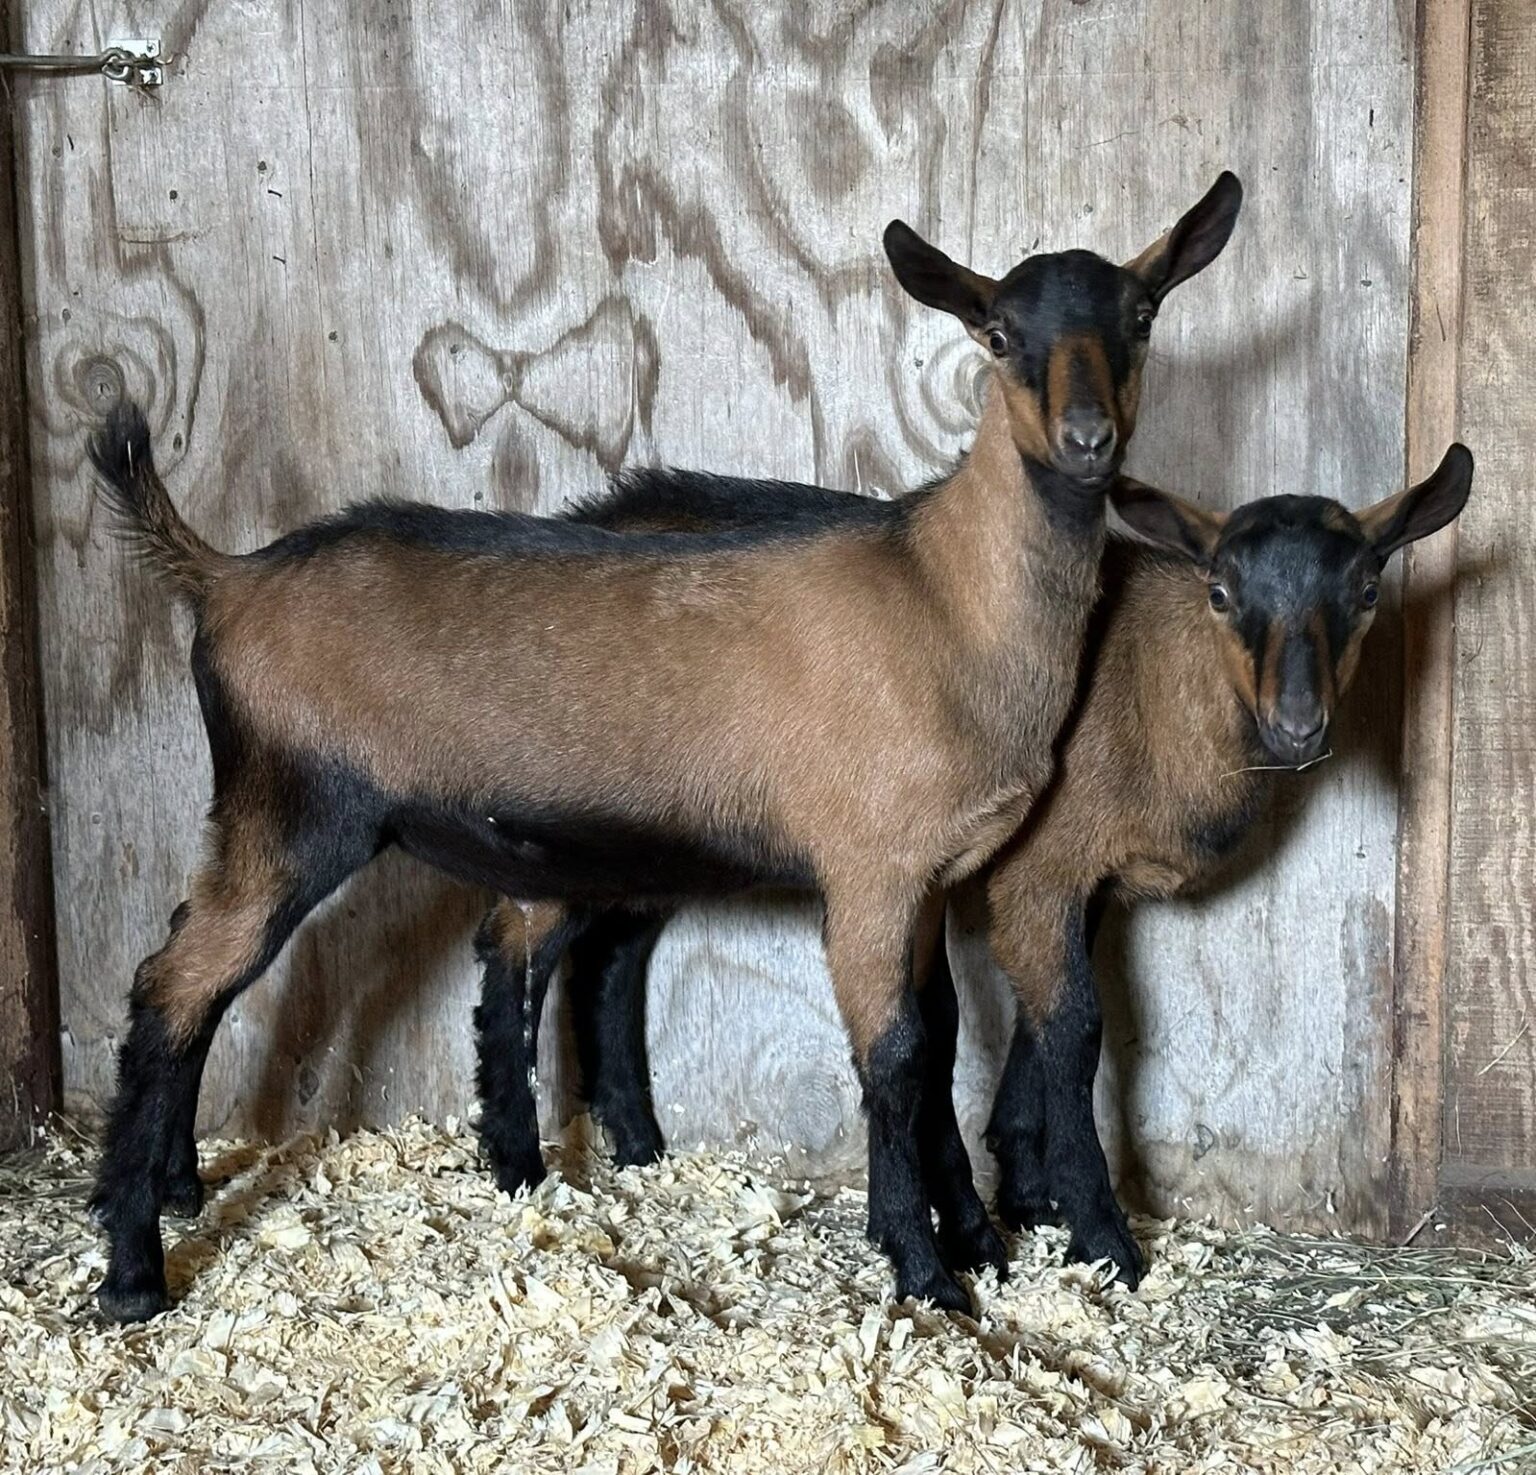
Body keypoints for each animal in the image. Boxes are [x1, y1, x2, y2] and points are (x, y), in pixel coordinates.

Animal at [84, 174, 1241, 1321]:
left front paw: (973, 1240)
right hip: (297, 807)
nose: (1087, 439)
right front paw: (926, 1268)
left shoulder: (931, 876)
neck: (944, 594)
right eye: (997, 334)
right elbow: (897, 1055)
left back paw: (190, 1189)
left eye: (1142, 315)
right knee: (174, 983)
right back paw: (135, 1270)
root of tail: (225, 575)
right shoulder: (869, 869)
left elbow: (940, 1038)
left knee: (209, 968)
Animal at [501, 445, 1473, 1288]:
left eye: (1367, 588)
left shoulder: (1074, 882)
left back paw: (637, 1144)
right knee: (531, 944)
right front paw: (1098, 1233)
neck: (1156, 685)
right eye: (1222, 591)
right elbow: (1077, 1026)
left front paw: (1025, 1191)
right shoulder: (1041, 868)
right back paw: (523, 1160)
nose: (1298, 724)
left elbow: (1039, 1027)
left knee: (615, 953)